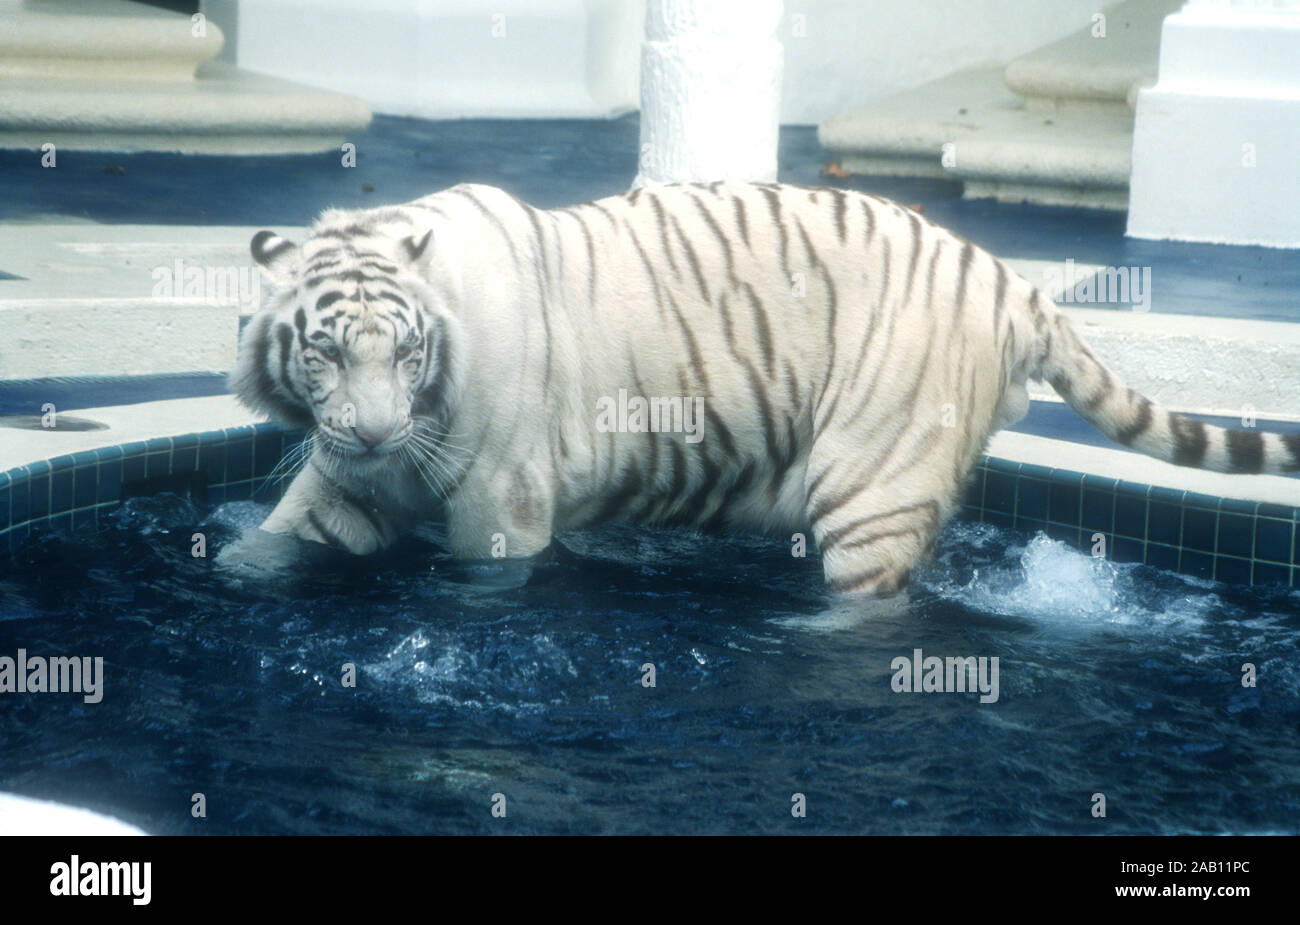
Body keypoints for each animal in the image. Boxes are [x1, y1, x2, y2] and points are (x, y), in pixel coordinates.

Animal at [226, 181, 1300, 595]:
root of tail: (1009, 280)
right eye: (326, 354)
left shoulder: (502, 502)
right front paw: (237, 569)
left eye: (406, 355)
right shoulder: (349, 470)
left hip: (875, 479)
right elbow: (284, 528)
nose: (375, 433)